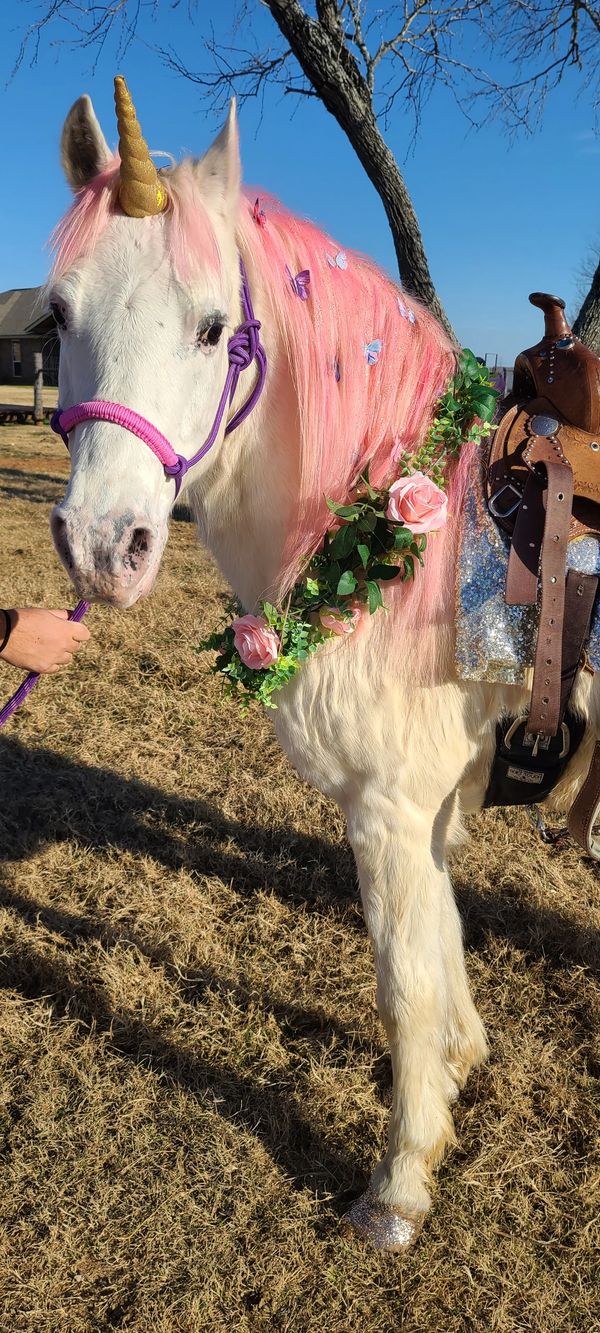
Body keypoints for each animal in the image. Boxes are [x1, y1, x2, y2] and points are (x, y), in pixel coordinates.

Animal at [46, 78, 598, 1253]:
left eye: (215, 325)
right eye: (59, 314)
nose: (103, 546)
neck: (402, 520)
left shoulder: (387, 804)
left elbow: (404, 982)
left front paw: (396, 1187)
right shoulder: (423, 800)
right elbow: (440, 944)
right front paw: (458, 1072)